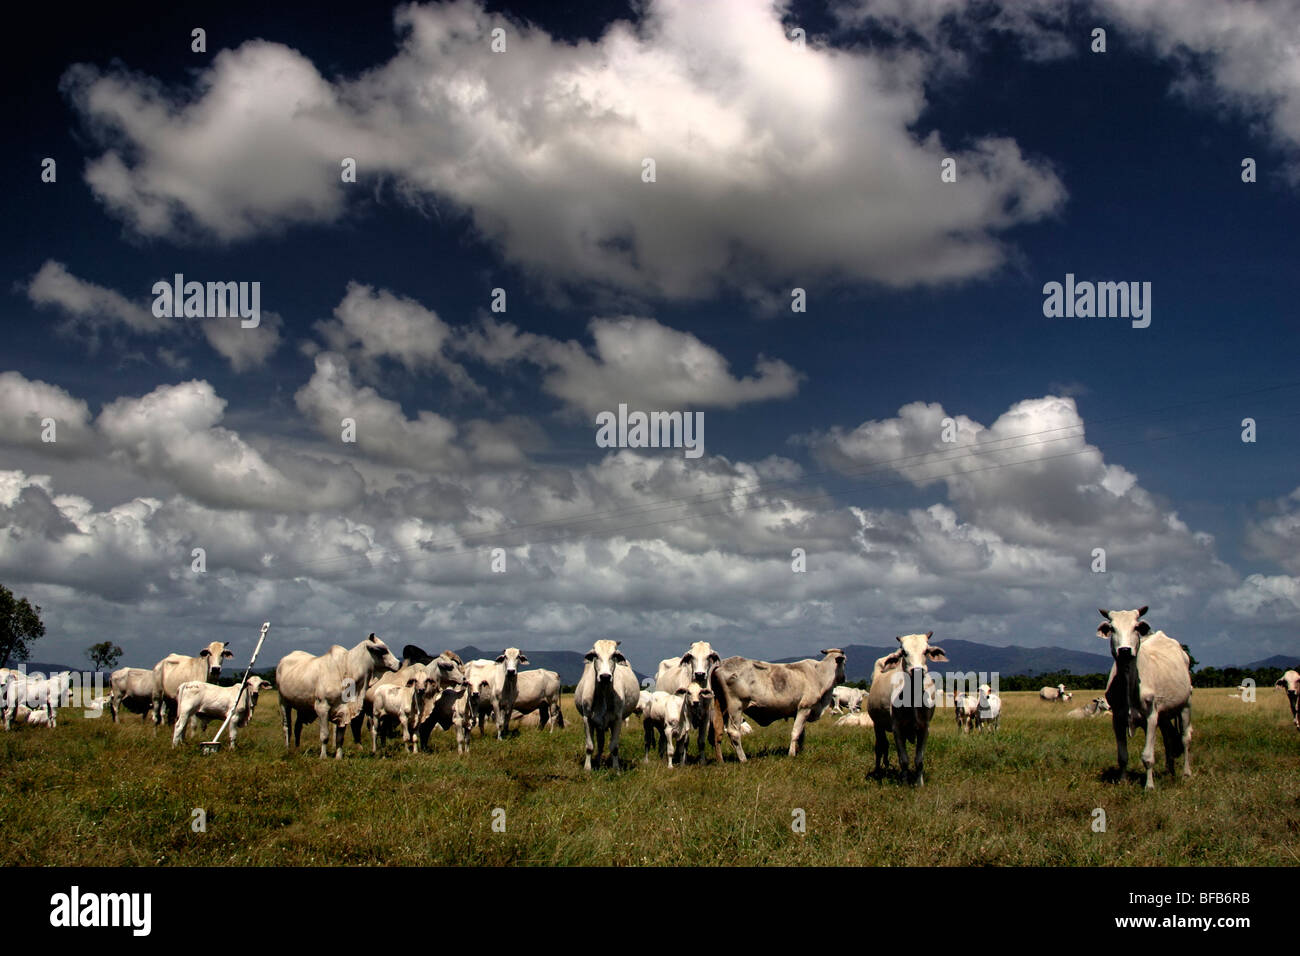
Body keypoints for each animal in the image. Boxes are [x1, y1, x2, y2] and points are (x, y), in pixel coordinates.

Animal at [574, 639, 640, 770]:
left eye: (613, 655)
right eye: (596, 655)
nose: (605, 676)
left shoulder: (617, 720)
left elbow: (614, 747)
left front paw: (616, 769)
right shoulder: (587, 719)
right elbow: (590, 746)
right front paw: (587, 768)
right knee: (600, 744)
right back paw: (598, 762)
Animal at [709, 649, 846, 763]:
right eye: (844, 662)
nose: (844, 678)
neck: (819, 674)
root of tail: (721, 664)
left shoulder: (798, 712)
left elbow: (801, 734)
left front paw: (800, 751)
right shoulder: (805, 708)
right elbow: (795, 732)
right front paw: (792, 754)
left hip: (719, 707)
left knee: (717, 733)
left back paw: (721, 760)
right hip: (735, 707)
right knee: (733, 733)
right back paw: (743, 759)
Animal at [866, 632, 947, 785]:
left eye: (926, 651)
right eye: (904, 652)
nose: (917, 671)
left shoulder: (924, 728)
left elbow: (919, 760)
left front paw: (919, 783)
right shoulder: (897, 729)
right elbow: (903, 760)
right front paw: (904, 782)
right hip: (877, 725)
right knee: (880, 747)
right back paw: (879, 771)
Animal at [1097, 607, 1193, 790]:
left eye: (1136, 627)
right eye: (1112, 628)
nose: (1124, 650)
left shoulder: (1151, 717)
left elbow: (1148, 756)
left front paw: (1149, 786)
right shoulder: (1117, 718)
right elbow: (1122, 756)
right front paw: (1123, 781)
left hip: (1185, 706)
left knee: (1185, 739)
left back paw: (1186, 773)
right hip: (1164, 716)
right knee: (1168, 739)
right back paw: (1170, 771)